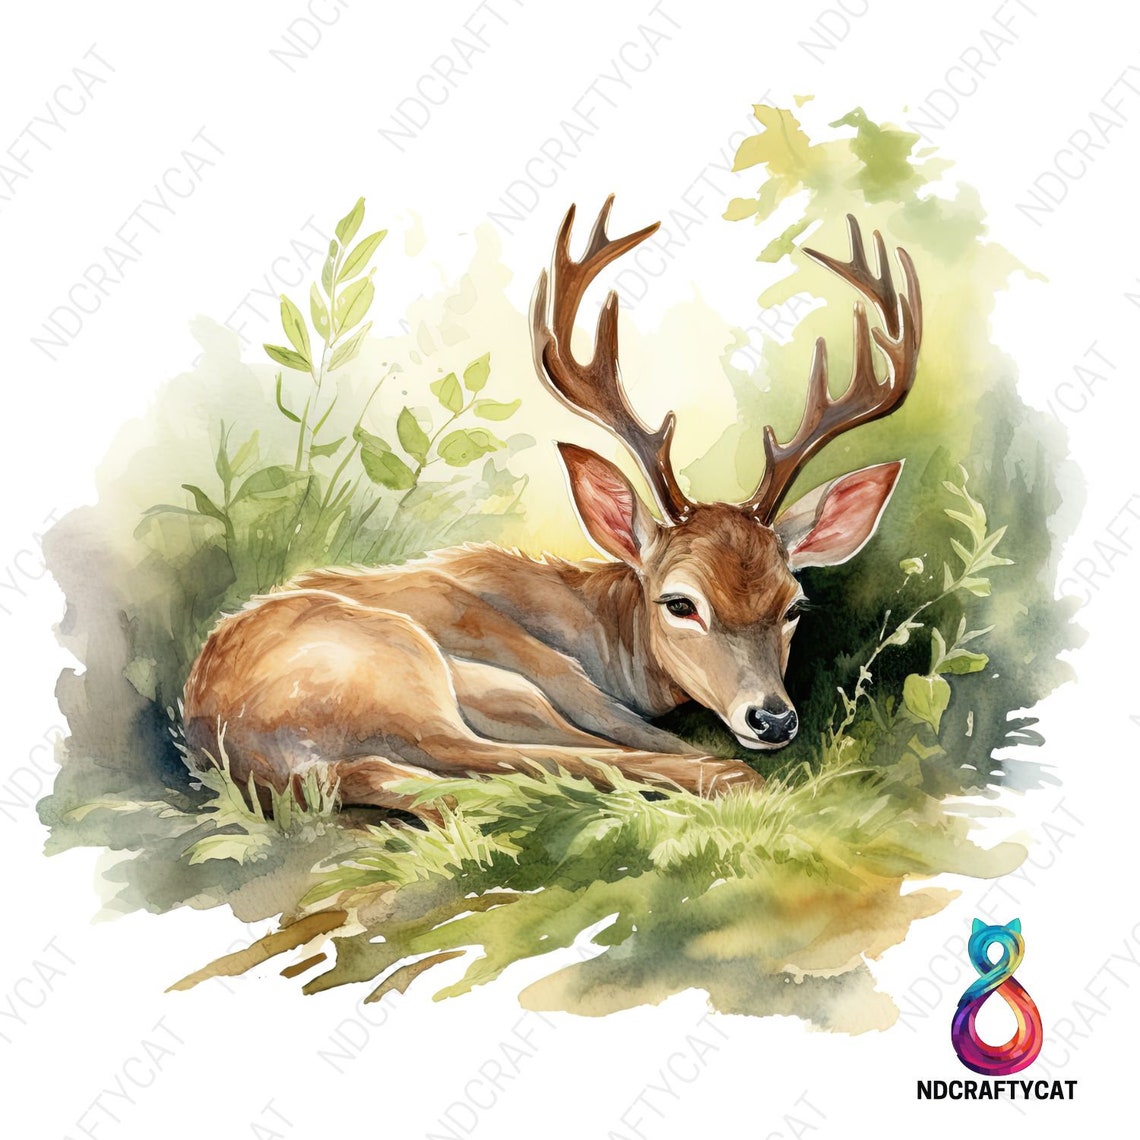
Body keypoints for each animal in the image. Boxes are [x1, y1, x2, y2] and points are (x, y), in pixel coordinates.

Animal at [183, 198, 922, 819]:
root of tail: (237, 745)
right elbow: (636, 733)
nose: (772, 719)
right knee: (502, 755)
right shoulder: (546, 669)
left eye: (793, 605)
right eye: (680, 602)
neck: (598, 627)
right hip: (403, 661)